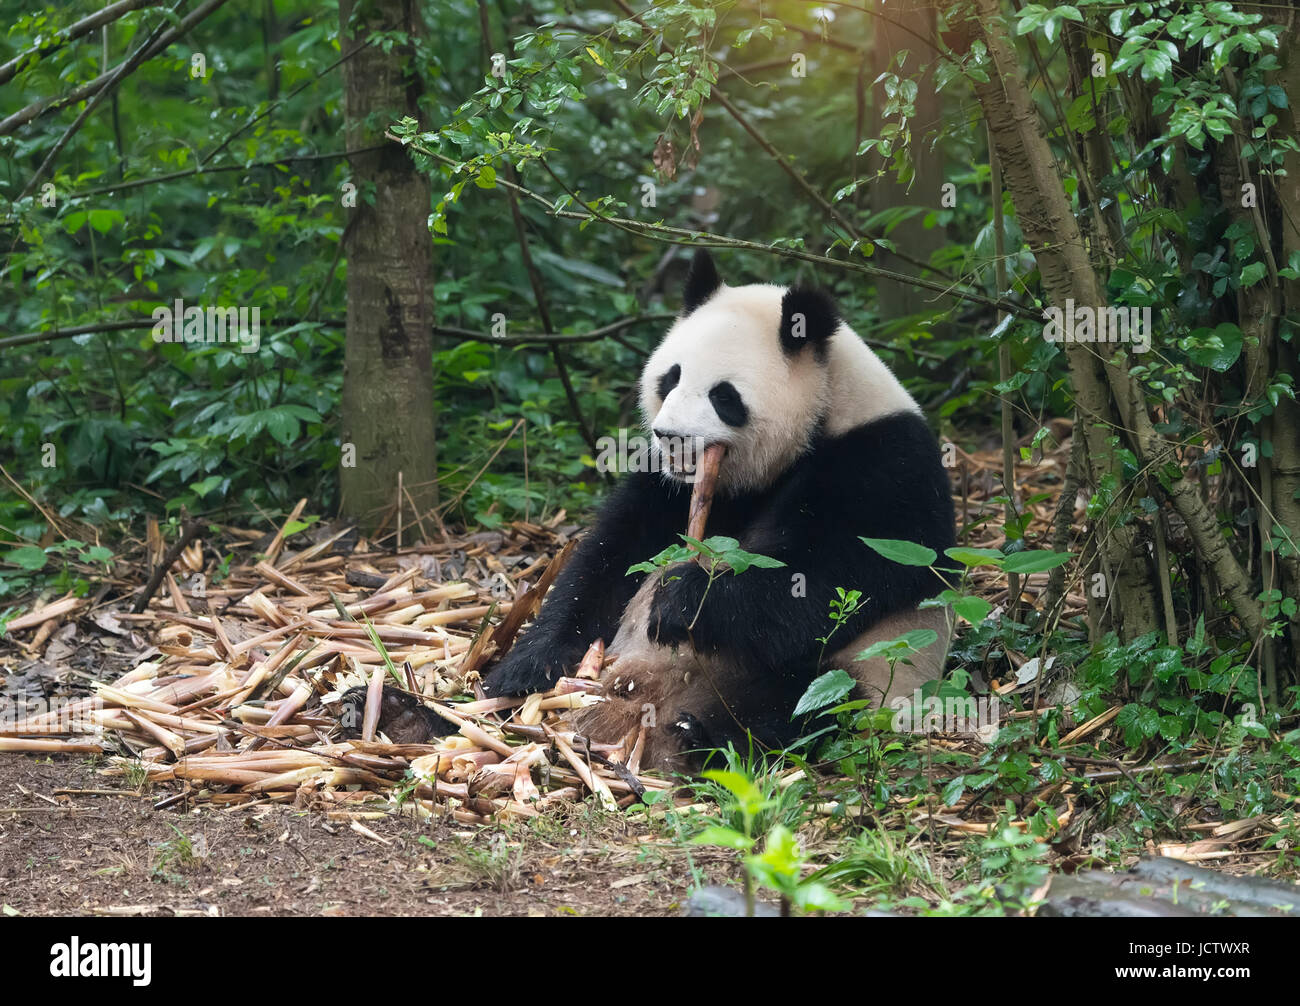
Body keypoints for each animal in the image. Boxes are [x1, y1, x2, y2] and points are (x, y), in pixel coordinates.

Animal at [484, 250, 957, 771]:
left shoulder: (884, 470)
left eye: (723, 395)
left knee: (809, 699)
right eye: (671, 377)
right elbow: (611, 558)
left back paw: (704, 736)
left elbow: (826, 580)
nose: (669, 435)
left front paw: (681, 600)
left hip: (879, 666)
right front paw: (526, 665)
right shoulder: (670, 485)